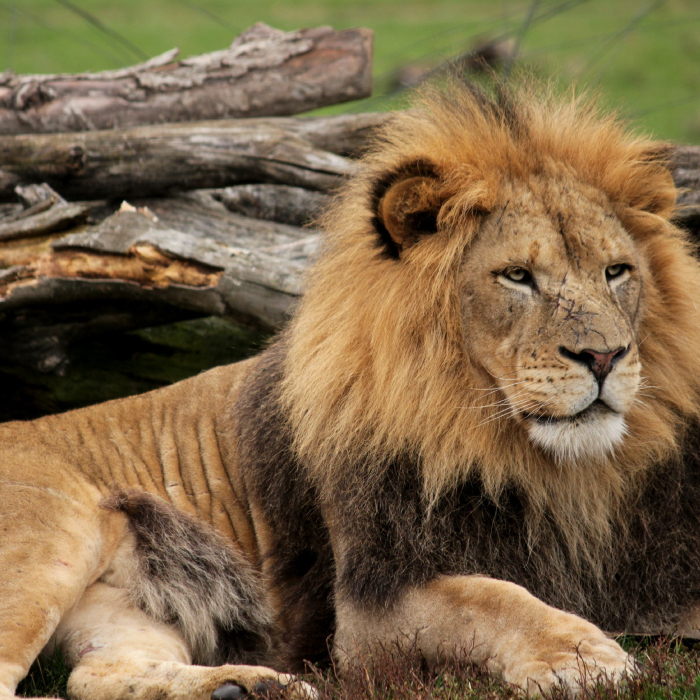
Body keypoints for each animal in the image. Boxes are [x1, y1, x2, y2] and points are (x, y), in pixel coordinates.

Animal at [3, 79, 700, 700]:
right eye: (517, 276)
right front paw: (581, 656)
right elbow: (491, 598)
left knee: (95, 676)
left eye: (616, 272)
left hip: (123, 610)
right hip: (49, 537)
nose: (605, 356)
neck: (551, 470)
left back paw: (250, 686)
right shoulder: (368, 613)